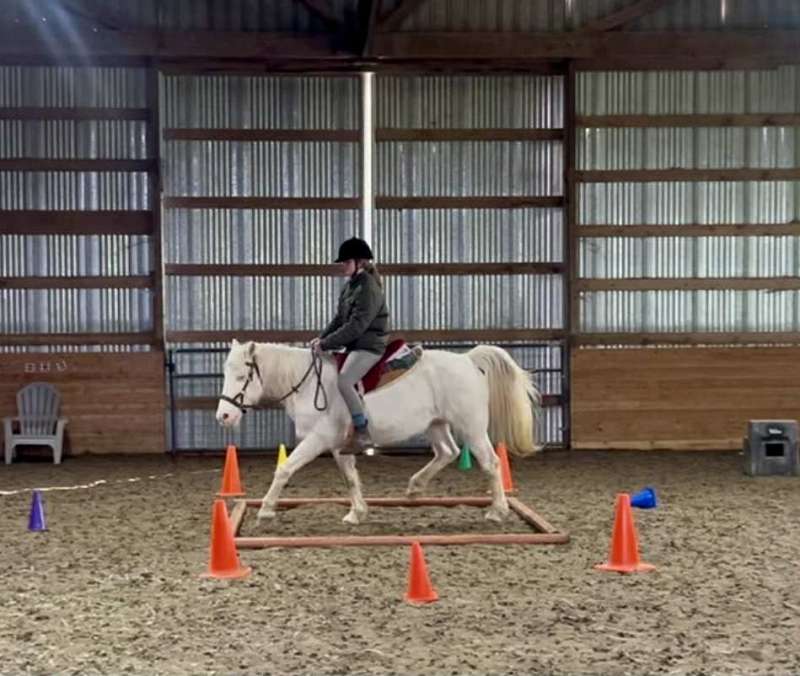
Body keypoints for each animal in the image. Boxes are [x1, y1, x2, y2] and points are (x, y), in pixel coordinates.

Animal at [215, 340, 542, 525]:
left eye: (242, 376)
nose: (224, 416)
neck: (306, 382)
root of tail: (467, 360)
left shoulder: (318, 440)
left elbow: (284, 469)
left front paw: (266, 510)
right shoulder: (339, 445)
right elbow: (350, 478)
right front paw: (356, 513)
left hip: (471, 428)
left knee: (490, 463)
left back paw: (497, 511)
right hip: (436, 424)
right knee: (447, 452)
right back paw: (414, 487)